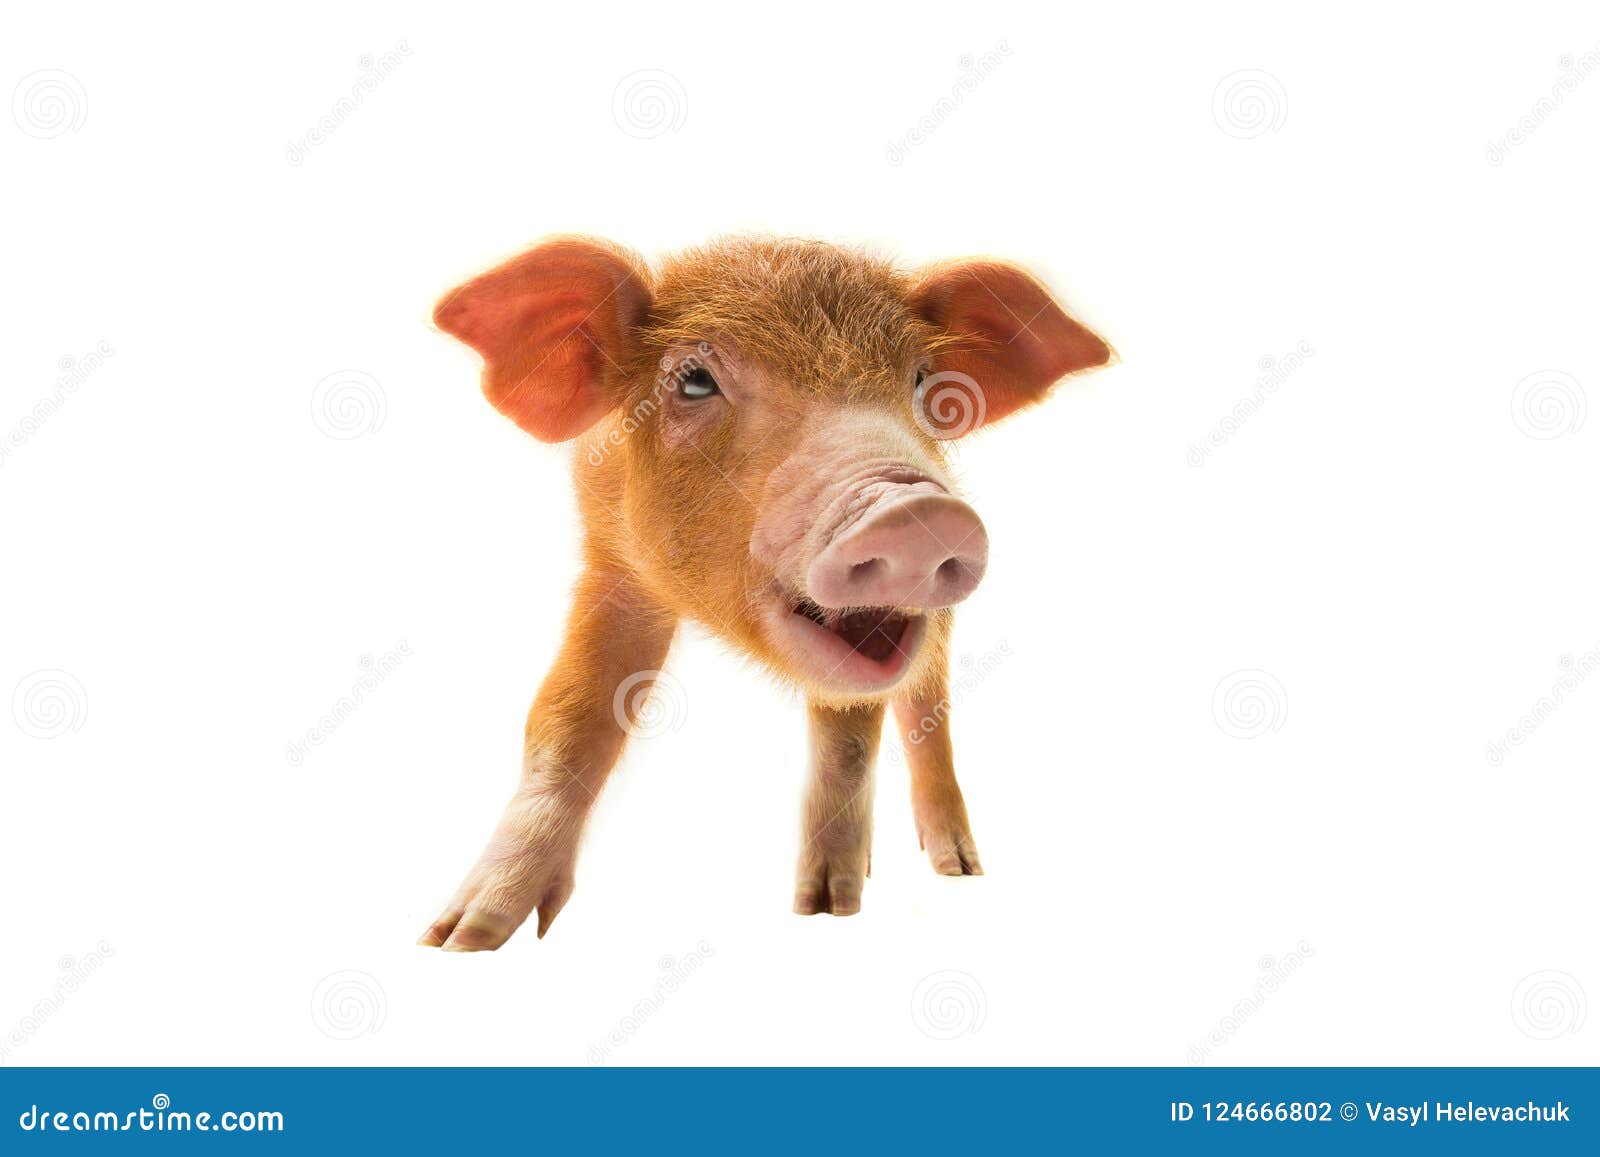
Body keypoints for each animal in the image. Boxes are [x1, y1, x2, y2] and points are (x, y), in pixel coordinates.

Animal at [418, 236, 1112, 950]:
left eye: (924, 382)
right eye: (694, 379)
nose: (914, 507)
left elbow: (849, 738)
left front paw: (823, 910)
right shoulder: (614, 566)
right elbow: (570, 716)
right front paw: (460, 936)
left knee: (926, 705)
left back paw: (960, 869)